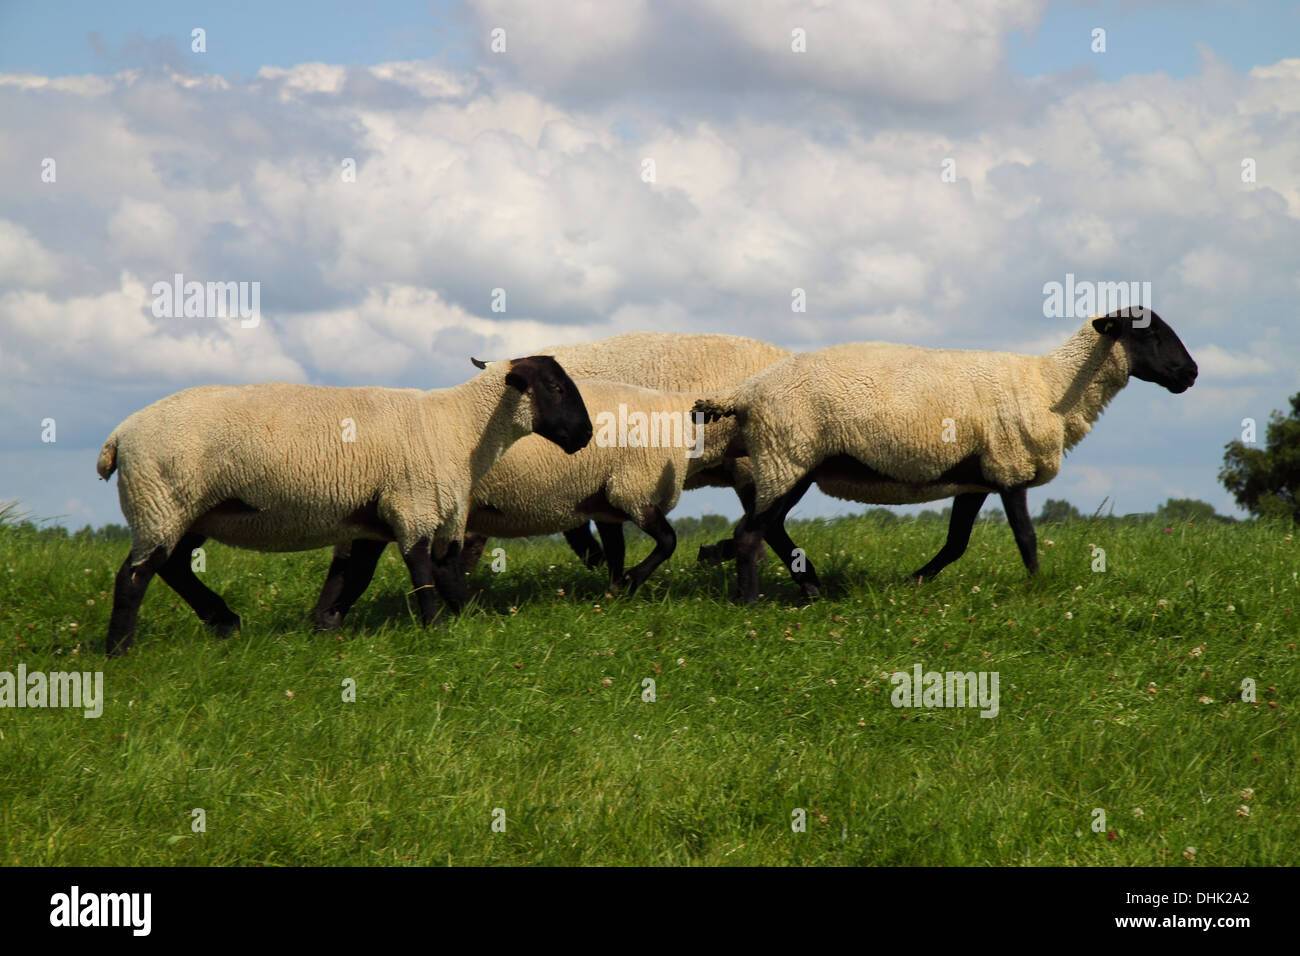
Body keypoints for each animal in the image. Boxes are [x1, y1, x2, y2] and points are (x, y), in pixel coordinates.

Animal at [96, 356, 592, 653]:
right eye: (555, 386)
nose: (586, 435)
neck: (460, 426)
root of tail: (119, 435)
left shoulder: (378, 516)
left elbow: (358, 576)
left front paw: (325, 627)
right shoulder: (412, 505)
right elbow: (425, 571)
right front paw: (437, 628)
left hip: (187, 510)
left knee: (173, 564)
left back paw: (223, 621)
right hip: (161, 500)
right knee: (134, 576)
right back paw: (120, 648)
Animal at [693, 309, 1199, 603]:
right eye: (1150, 333)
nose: (1191, 373)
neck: (1051, 385)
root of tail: (746, 391)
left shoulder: (979, 478)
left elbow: (957, 542)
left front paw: (915, 582)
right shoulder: (1010, 467)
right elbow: (1027, 538)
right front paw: (1038, 590)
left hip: (788, 461)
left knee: (768, 530)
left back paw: (812, 588)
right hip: (790, 456)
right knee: (752, 533)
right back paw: (751, 602)